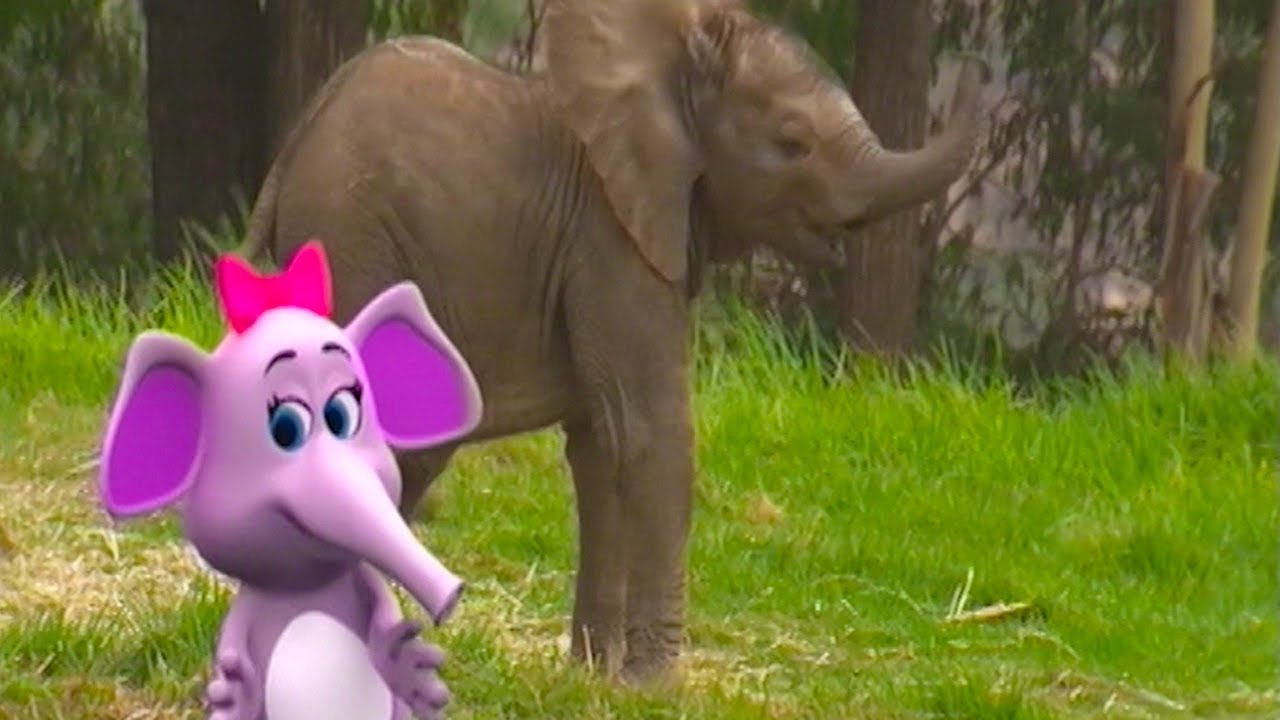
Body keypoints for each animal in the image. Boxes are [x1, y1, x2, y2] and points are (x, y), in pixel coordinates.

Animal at [236, 0, 987, 684]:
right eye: (793, 140)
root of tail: (292, 149)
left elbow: (602, 445)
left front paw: (592, 678)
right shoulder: (610, 239)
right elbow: (652, 432)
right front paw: (655, 687)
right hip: (352, 244)